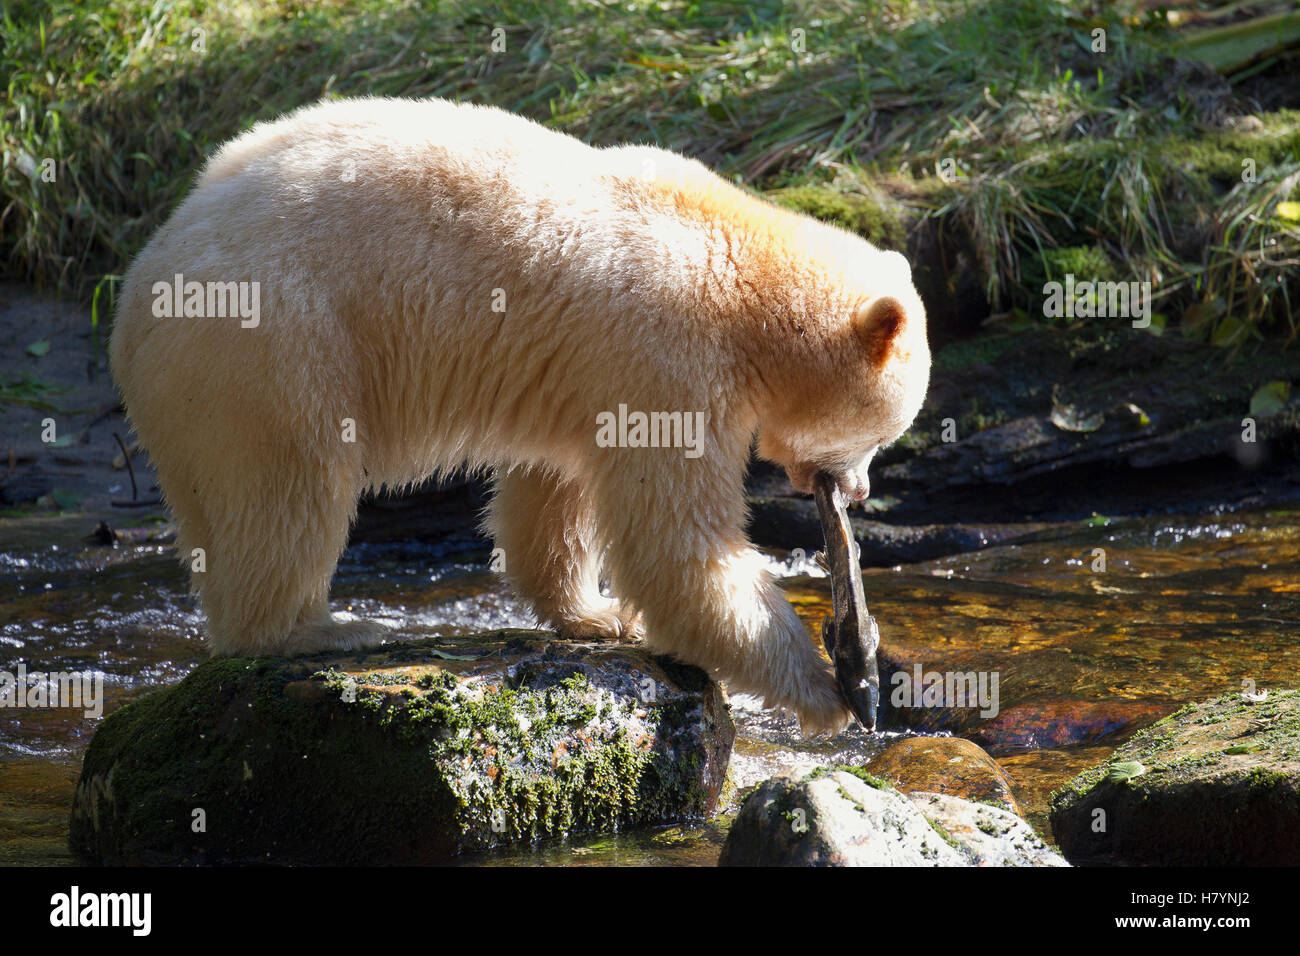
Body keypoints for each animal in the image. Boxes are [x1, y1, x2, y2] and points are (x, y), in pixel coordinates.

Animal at [109, 96, 930, 736]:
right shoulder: (668, 353)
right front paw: (829, 686)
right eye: (881, 435)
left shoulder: (583, 370)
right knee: (291, 481)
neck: (740, 261)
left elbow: (555, 489)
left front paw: (598, 615)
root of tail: (135, 298)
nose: (857, 492)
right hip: (274, 341)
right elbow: (676, 541)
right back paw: (322, 629)